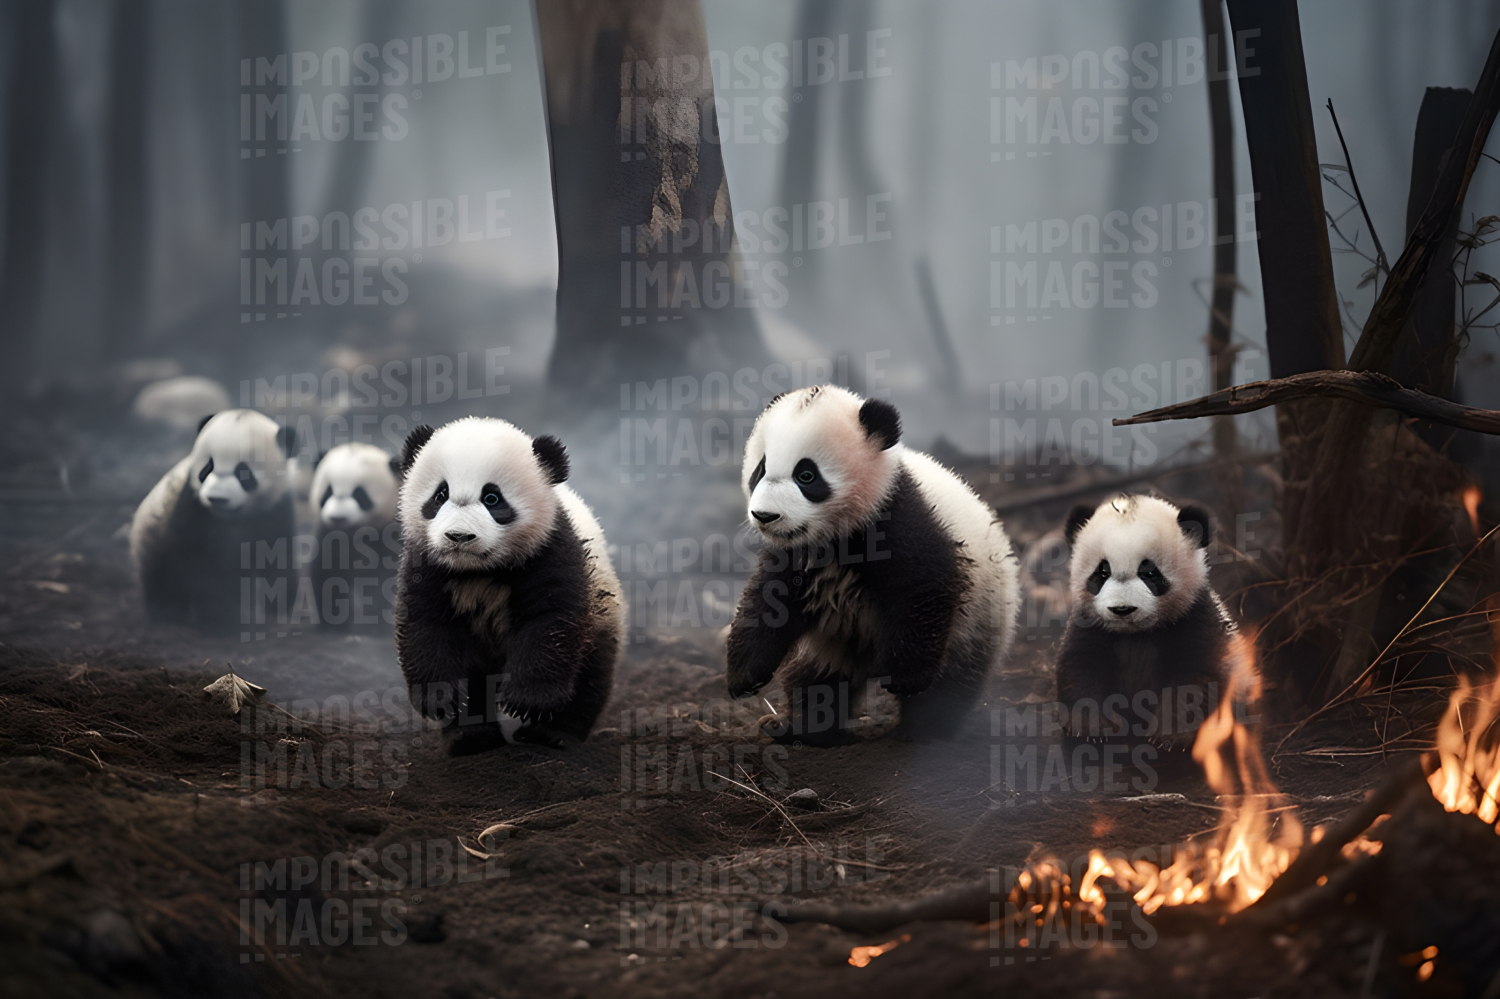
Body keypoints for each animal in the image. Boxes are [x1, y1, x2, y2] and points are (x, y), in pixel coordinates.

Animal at [130, 410, 294, 631]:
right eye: (207, 468)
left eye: (244, 473)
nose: (217, 498)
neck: (232, 519)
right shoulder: (192, 508)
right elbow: (199, 563)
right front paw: (222, 619)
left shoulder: (276, 509)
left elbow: (278, 556)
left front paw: (277, 607)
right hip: (153, 531)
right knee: (160, 574)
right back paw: (168, 613)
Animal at [309, 442, 403, 627]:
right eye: (328, 492)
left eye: (360, 495)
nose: (338, 518)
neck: (356, 533)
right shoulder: (330, 536)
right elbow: (328, 573)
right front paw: (334, 624)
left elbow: (383, 582)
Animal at [393, 418, 623, 752]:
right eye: (440, 495)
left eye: (492, 498)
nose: (459, 536)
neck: (478, 571)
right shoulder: (426, 564)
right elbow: (426, 625)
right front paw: (439, 700)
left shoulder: (551, 549)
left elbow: (551, 619)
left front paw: (527, 701)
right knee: (474, 680)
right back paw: (472, 737)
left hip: (603, 613)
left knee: (591, 674)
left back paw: (552, 734)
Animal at [726, 385, 1020, 744]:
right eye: (760, 470)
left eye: (806, 475)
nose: (765, 516)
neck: (836, 535)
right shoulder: (793, 555)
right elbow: (767, 601)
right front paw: (743, 677)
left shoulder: (900, 520)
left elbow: (923, 587)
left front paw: (903, 678)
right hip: (831, 643)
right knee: (816, 681)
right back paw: (799, 727)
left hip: (976, 623)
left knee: (952, 683)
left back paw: (922, 733)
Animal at [1056, 494, 1247, 747]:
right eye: (1102, 572)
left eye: (1149, 573)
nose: (1122, 608)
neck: (1136, 634)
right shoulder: (1089, 623)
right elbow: (1080, 664)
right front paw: (1090, 727)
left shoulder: (1194, 617)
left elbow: (1195, 674)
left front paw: (1173, 735)